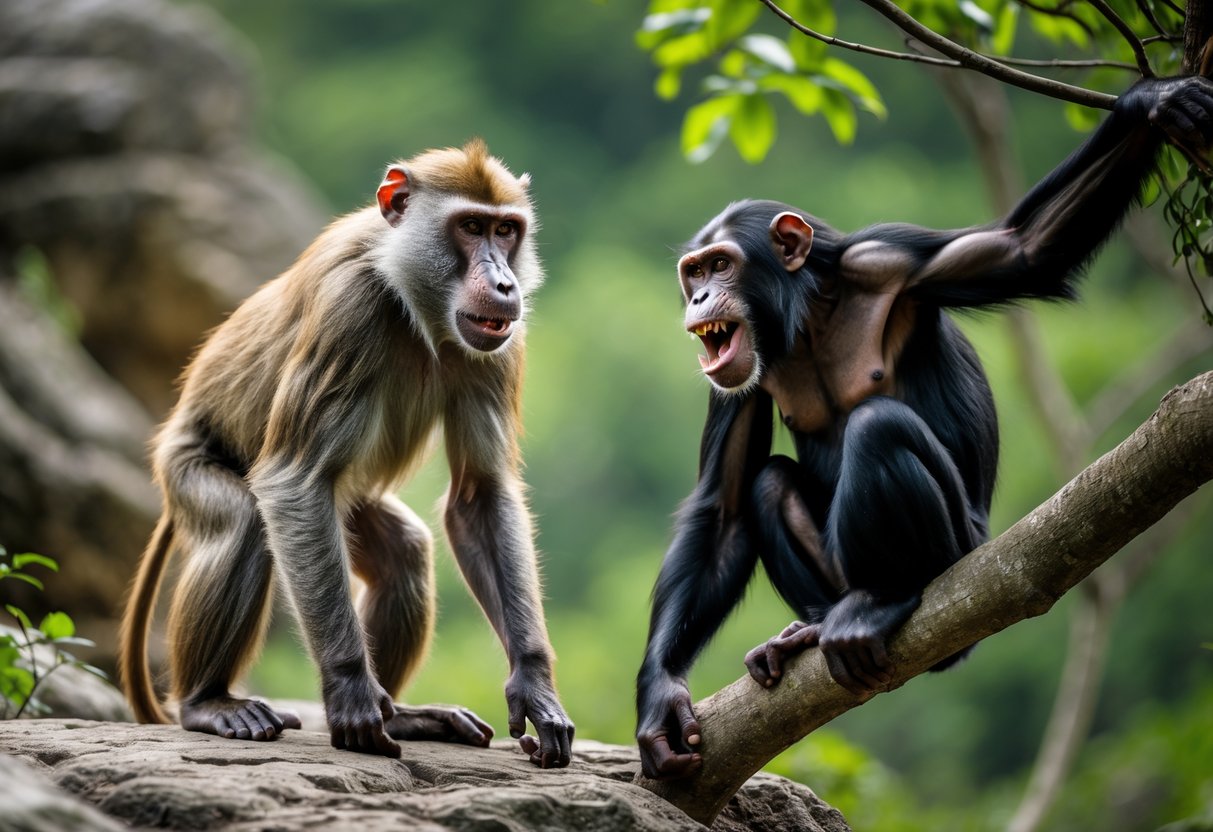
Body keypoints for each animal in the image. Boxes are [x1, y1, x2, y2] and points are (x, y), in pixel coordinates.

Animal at [119, 139, 574, 768]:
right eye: (470, 227)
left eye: (506, 230)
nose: (506, 284)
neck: (407, 293)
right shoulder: (348, 310)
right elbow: (293, 483)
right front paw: (351, 689)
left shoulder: (501, 343)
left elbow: (479, 494)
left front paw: (534, 686)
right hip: (185, 464)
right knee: (244, 521)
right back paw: (207, 703)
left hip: (353, 502)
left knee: (404, 555)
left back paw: (404, 715)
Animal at [635, 76, 1213, 779]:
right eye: (693, 270)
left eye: (721, 265)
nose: (697, 297)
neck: (806, 316)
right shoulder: (734, 384)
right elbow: (721, 508)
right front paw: (662, 696)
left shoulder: (891, 260)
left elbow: (1028, 246)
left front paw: (1154, 104)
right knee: (768, 482)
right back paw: (809, 630)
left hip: (961, 551)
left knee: (879, 429)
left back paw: (885, 599)